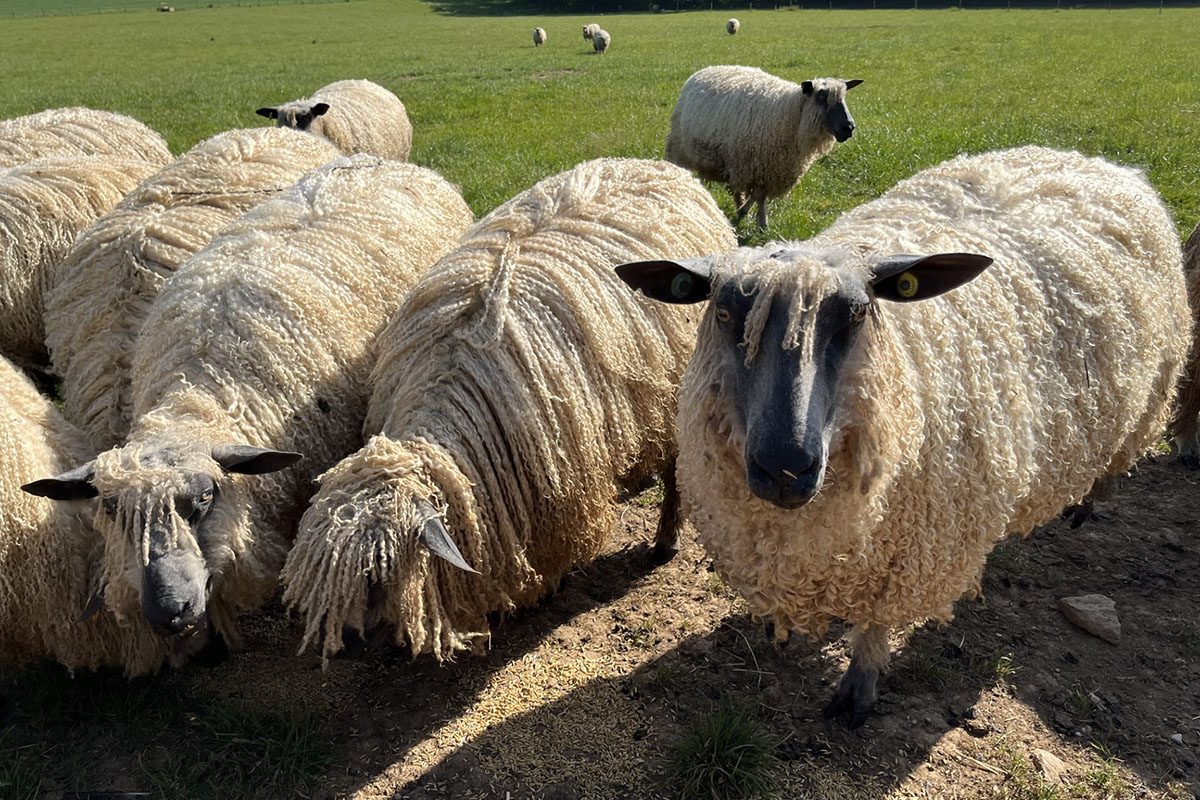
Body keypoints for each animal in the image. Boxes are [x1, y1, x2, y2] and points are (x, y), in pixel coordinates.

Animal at [281, 157, 737, 663]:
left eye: (376, 576)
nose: (348, 645)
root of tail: (659, 165)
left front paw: (545, 589)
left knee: (676, 468)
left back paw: (665, 540)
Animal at [614, 146, 1190, 726]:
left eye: (858, 314)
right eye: (724, 312)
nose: (785, 468)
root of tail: (1102, 163)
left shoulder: (912, 548)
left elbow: (877, 620)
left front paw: (858, 687)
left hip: (1150, 394)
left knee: (1117, 459)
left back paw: (1089, 503)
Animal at [664, 66, 862, 229]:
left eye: (843, 98)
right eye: (821, 98)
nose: (849, 127)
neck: (791, 116)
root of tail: (705, 70)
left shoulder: (768, 170)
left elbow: (759, 196)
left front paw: (756, 220)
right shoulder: (756, 165)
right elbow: (758, 196)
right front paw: (751, 219)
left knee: (732, 187)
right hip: (681, 148)